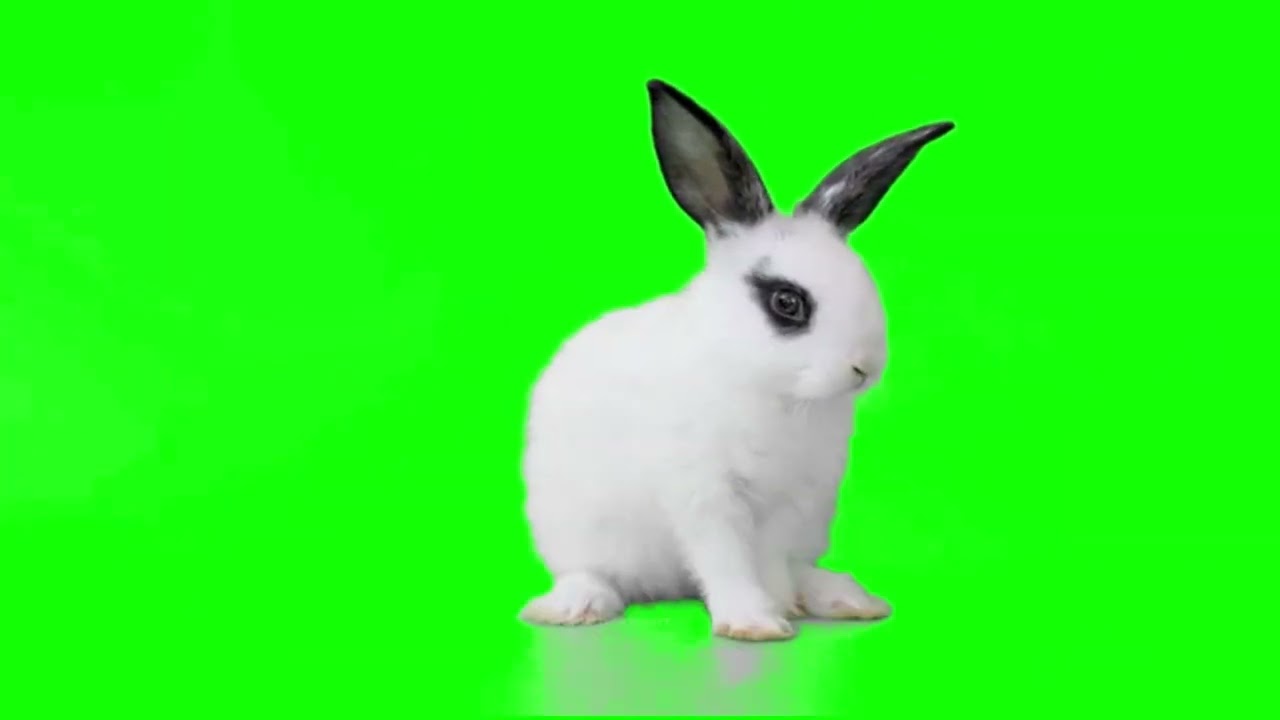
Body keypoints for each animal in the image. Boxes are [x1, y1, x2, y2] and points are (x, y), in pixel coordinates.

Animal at [518, 79, 953, 641]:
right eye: (787, 301)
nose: (864, 367)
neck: (775, 392)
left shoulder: (792, 504)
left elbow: (771, 563)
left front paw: (782, 609)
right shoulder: (707, 496)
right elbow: (726, 560)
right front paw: (756, 623)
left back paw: (847, 600)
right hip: (575, 529)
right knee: (594, 574)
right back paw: (572, 607)